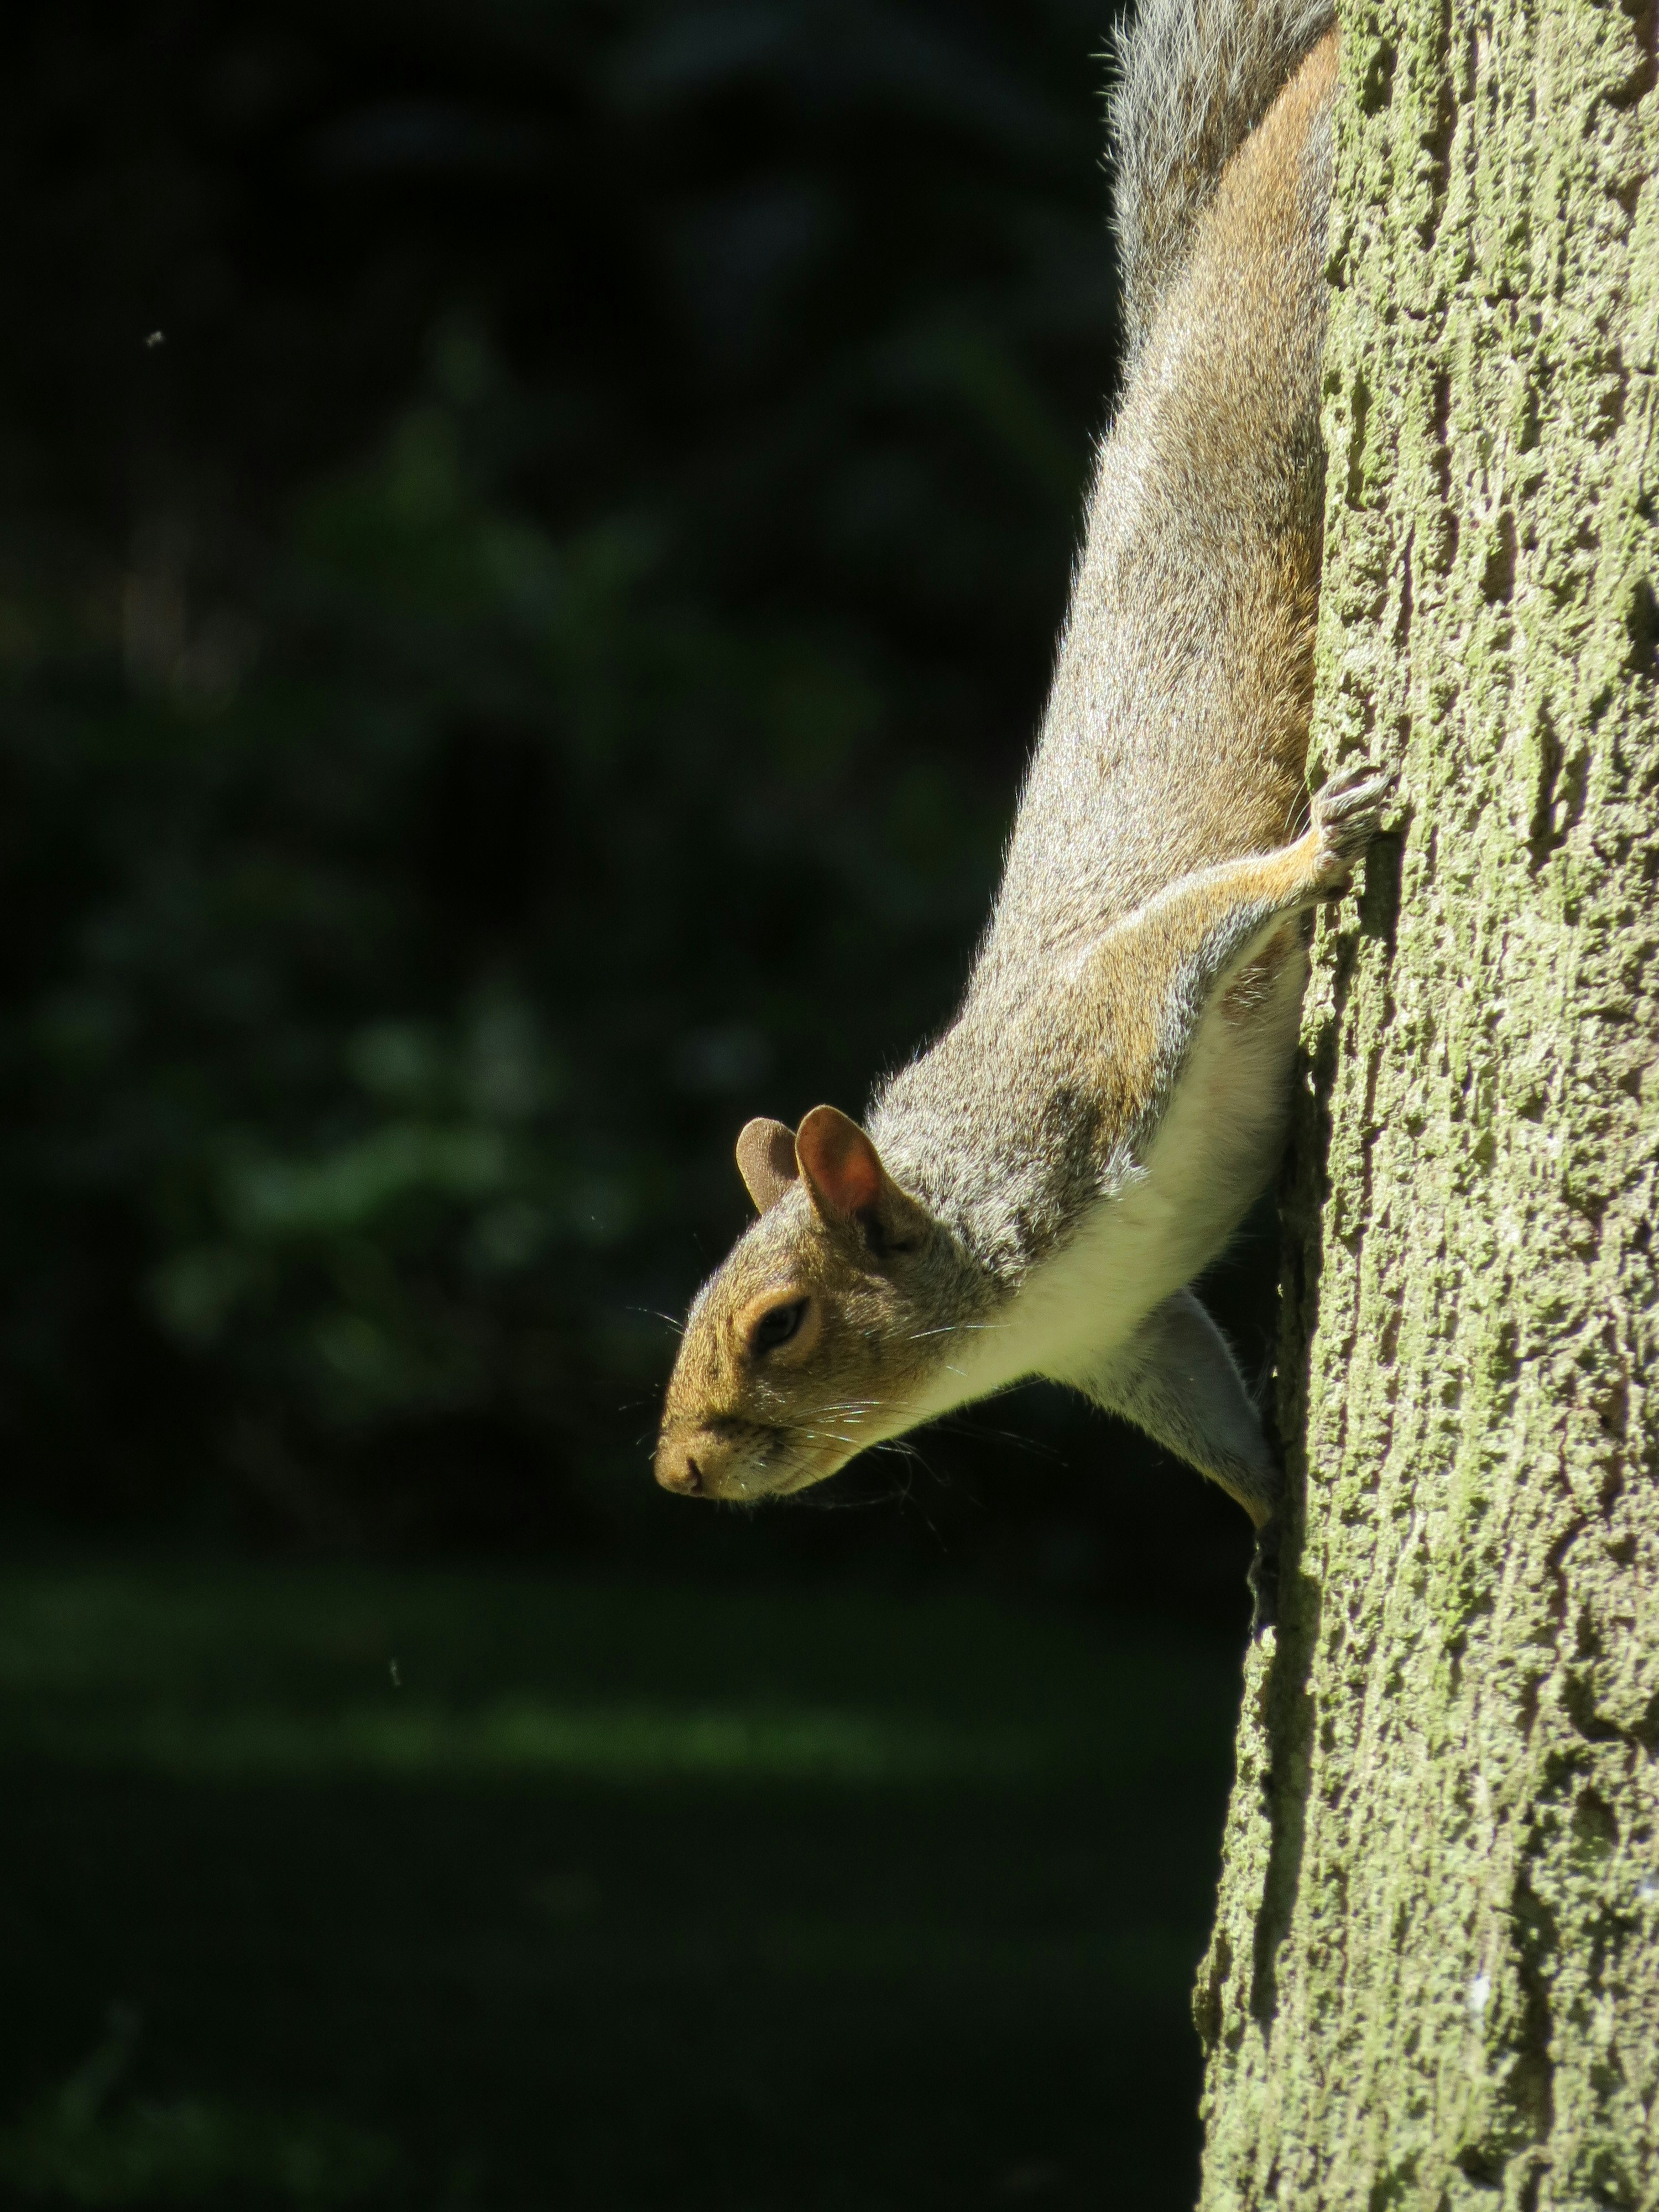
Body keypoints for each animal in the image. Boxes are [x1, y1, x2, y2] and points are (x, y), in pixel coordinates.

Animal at [653, 0, 1391, 1622]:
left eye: (782, 1321)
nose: (672, 1474)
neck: (1002, 1290)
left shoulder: (1093, 1057)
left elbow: (1185, 931)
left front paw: (1324, 839)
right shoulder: (1125, 1333)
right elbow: (1218, 1429)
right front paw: (1273, 1544)